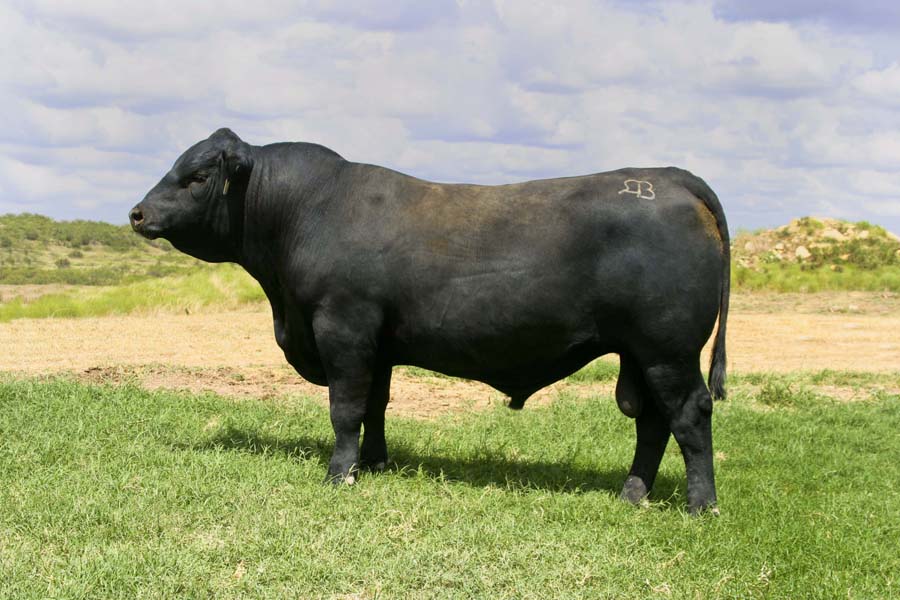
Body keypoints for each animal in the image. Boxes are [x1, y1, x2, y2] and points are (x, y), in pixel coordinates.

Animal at [130, 128, 729, 514]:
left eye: (197, 175)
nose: (137, 213)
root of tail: (668, 176)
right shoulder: (378, 345)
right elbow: (375, 405)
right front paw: (373, 465)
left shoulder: (343, 329)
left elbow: (345, 409)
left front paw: (338, 474)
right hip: (641, 355)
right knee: (651, 421)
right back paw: (633, 494)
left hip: (667, 350)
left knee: (688, 414)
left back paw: (701, 506)